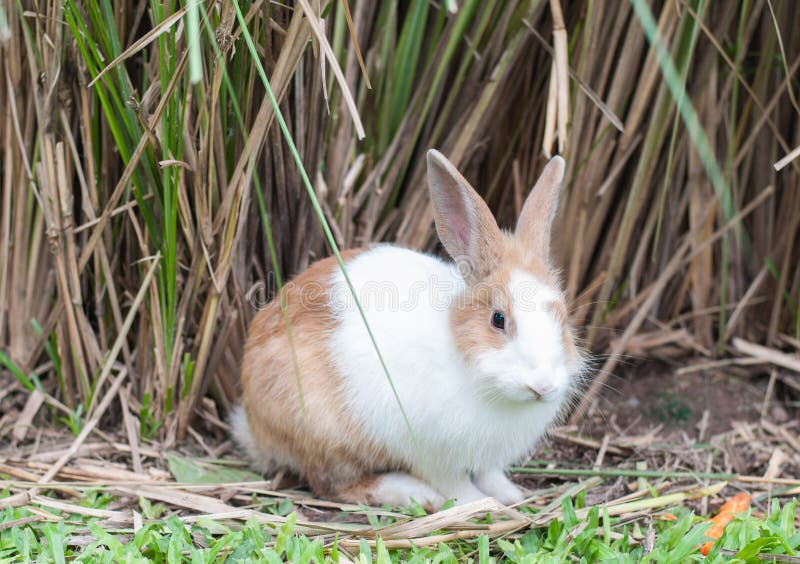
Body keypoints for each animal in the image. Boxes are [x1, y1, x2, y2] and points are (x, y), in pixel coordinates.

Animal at [232, 149, 584, 509]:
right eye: (498, 319)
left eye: (562, 317)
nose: (542, 386)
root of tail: (254, 425)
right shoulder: (431, 452)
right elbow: (455, 484)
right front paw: (479, 504)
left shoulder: (485, 456)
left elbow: (489, 474)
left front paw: (510, 494)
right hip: (325, 435)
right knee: (333, 485)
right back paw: (413, 492)